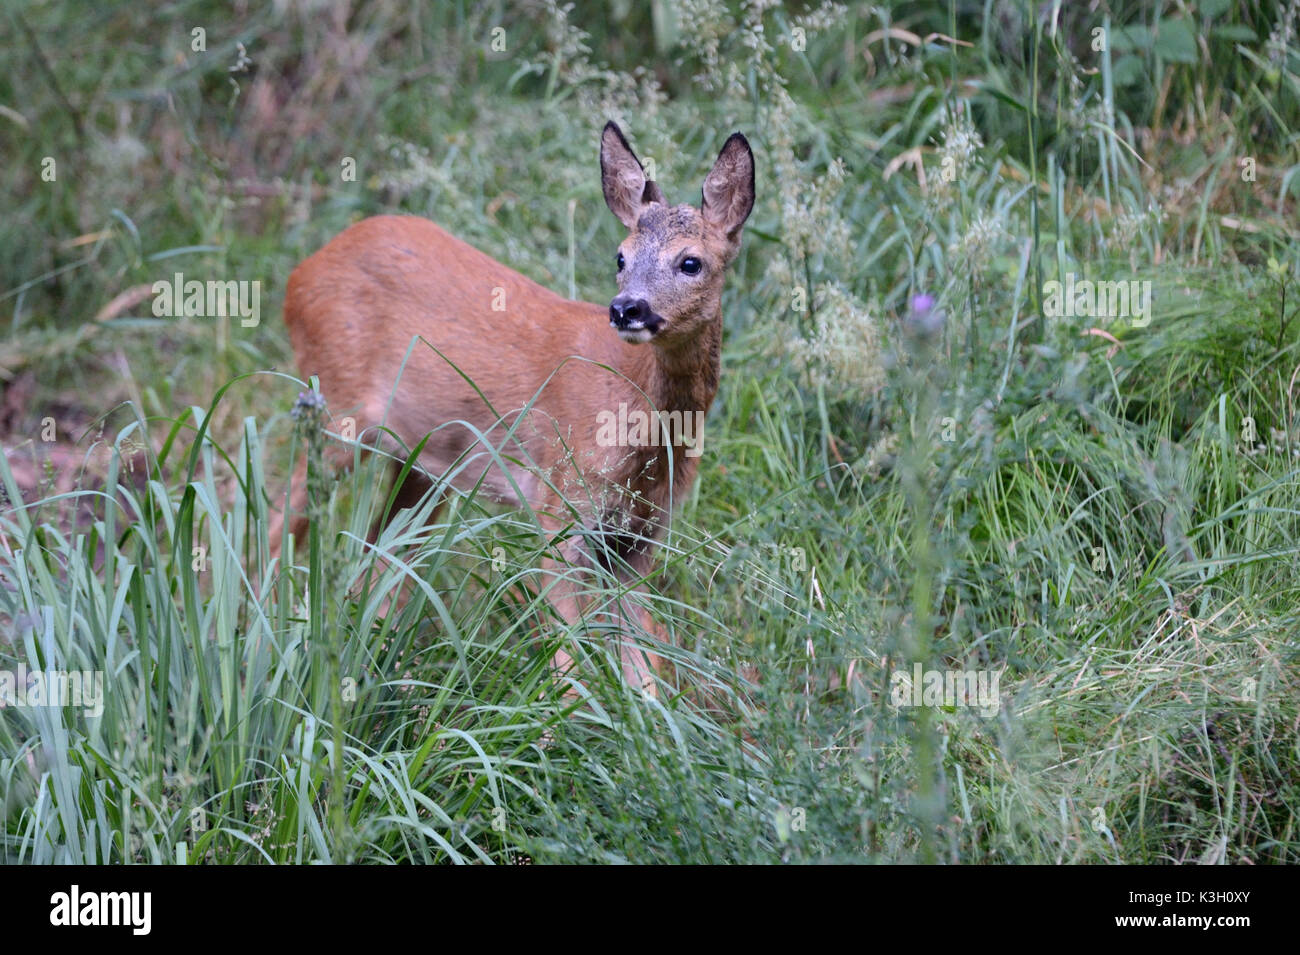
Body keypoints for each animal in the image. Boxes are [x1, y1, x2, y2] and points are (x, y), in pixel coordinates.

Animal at [272, 122, 755, 696]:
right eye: (620, 256)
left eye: (690, 262)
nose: (627, 309)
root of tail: (299, 273)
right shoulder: (561, 503)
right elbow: (568, 653)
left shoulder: (641, 532)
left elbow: (642, 660)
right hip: (335, 407)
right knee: (274, 510)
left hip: (421, 460)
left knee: (381, 552)